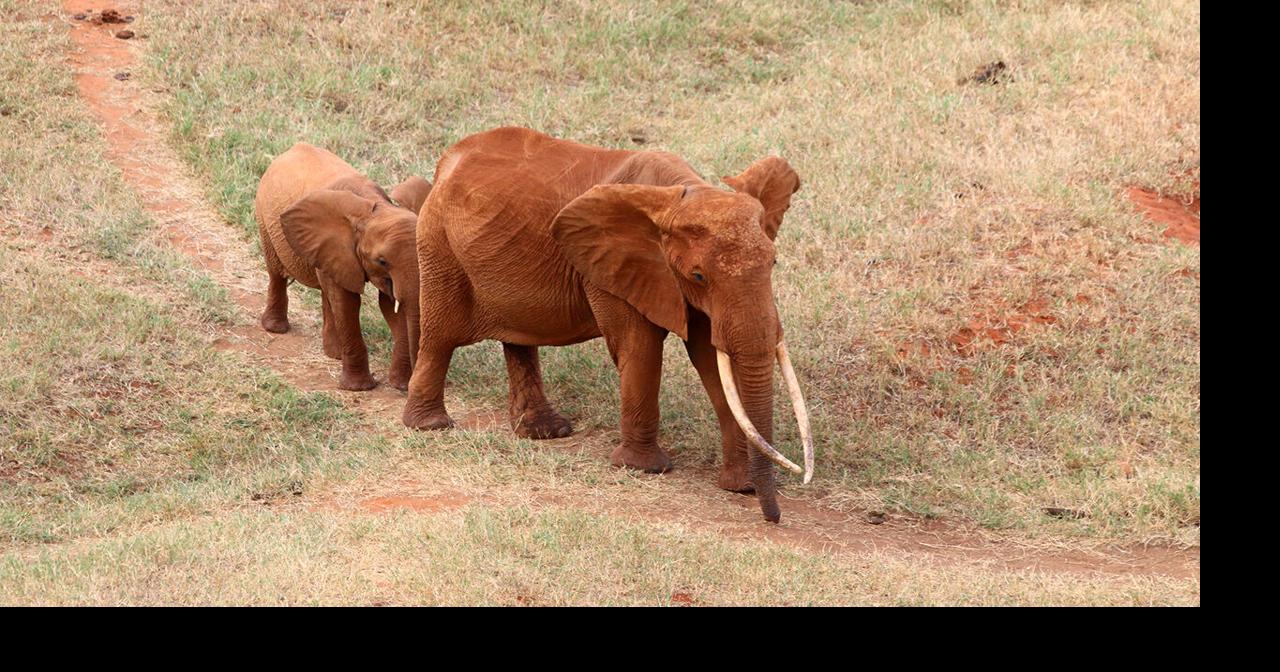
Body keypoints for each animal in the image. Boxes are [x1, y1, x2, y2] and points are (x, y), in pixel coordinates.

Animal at [254, 142, 432, 391]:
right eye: (382, 261)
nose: (407, 388)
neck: (375, 208)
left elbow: (389, 306)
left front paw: (399, 384)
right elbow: (348, 303)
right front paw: (360, 388)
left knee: (326, 292)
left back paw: (334, 354)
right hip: (264, 214)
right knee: (276, 272)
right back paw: (276, 328)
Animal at [402, 127, 814, 522]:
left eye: (774, 262)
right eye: (698, 276)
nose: (773, 518)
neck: (680, 193)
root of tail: (446, 162)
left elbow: (711, 358)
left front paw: (741, 487)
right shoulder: (613, 268)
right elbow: (639, 346)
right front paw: (643, 468)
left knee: (517, 340)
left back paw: (544, 432)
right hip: (438, 244)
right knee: (440, 336)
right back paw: (429, 425)